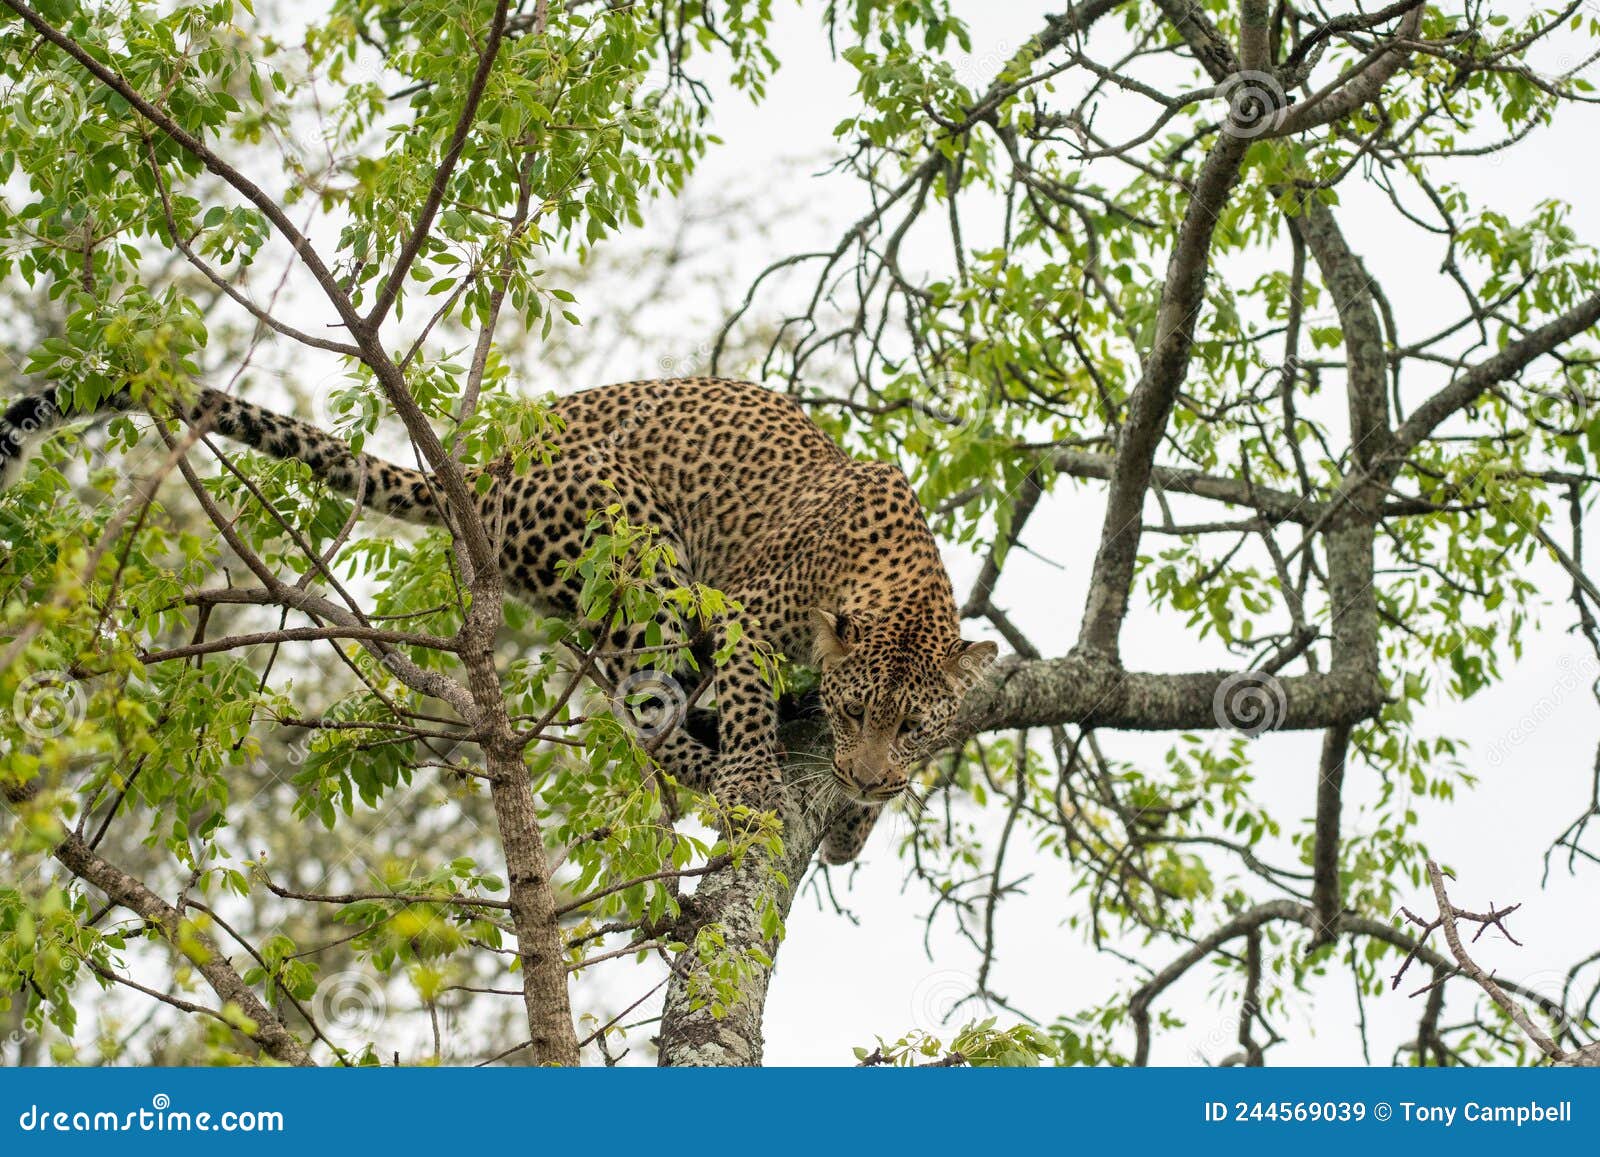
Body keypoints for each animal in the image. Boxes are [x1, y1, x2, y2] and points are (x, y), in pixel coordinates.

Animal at [0, 376, 997, 863]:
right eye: (857, 709)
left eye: (912, 724)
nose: (868, 777)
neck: (903, 579)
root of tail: (483, 472)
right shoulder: (744, 612)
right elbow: (750, 698)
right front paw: (760, 782)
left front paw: (857, 818)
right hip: (634, 539)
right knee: (638, 702)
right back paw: (708, 762)